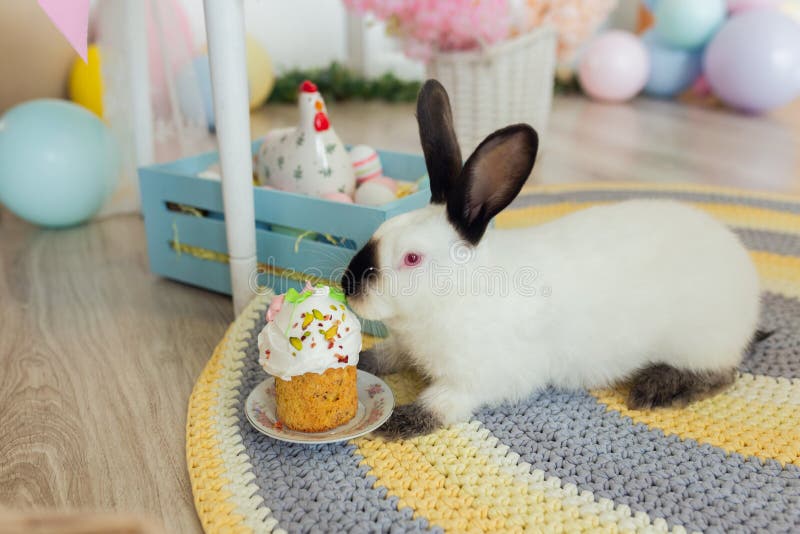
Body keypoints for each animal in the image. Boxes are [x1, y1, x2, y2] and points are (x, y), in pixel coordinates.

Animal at [341, 80, 761, 440]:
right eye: (380, 231)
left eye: (412, 258)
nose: (348, 286)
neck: (458, 293)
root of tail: (744, 273)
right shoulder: (404, 347)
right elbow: (386, 354)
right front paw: (360, 361)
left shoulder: (476, 380)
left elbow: (441, 403)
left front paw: (399, 423)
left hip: (699, 344)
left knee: (723, 375)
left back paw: (658, 388)